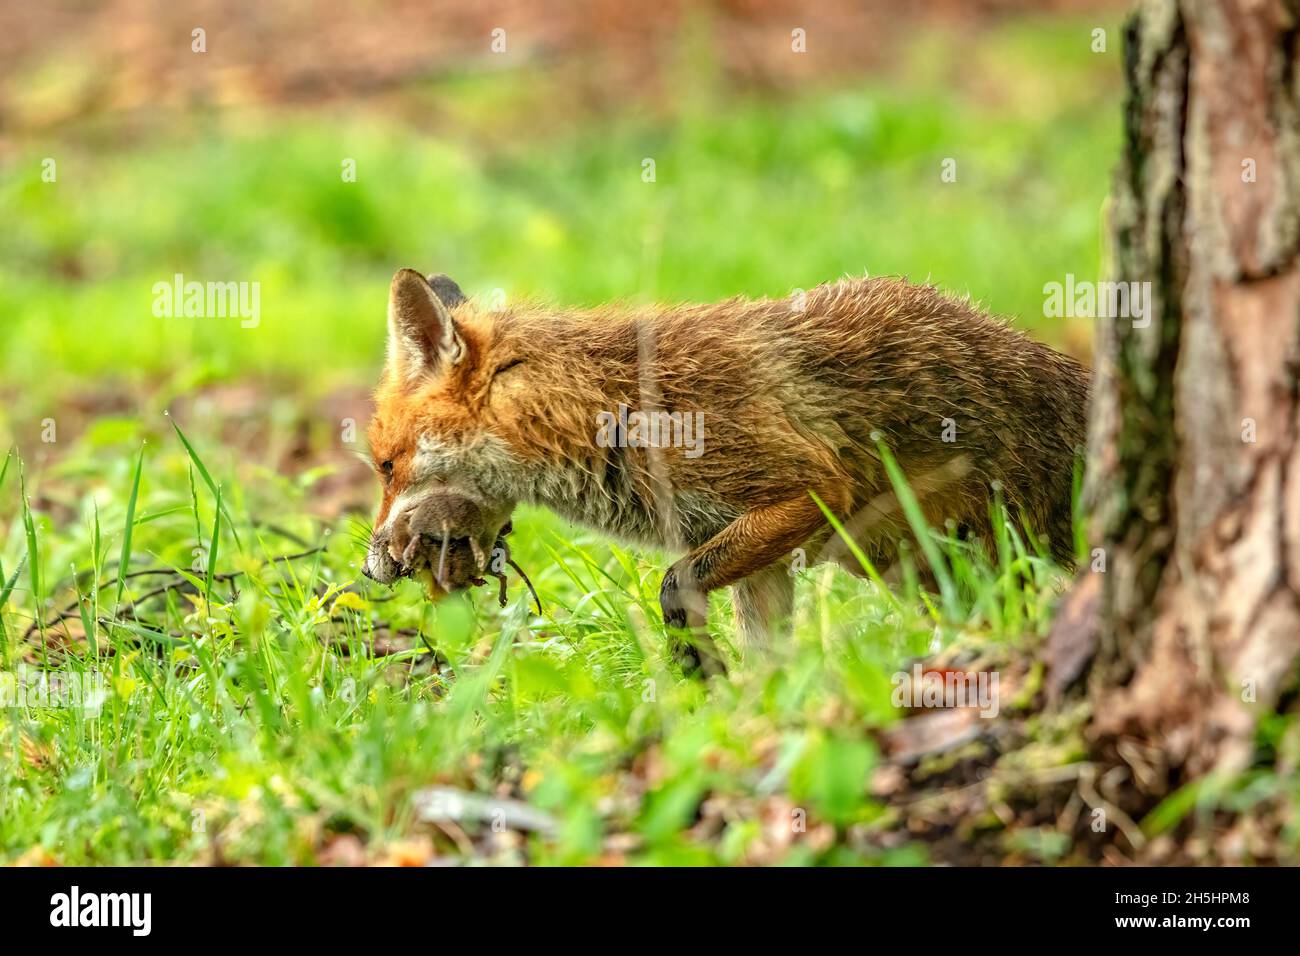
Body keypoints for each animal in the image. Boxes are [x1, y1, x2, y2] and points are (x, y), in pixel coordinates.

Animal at [363, 268, 1090, 676]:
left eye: (386, 465)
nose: (372, 566)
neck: (610, 409)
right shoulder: (760, 561)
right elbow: (767, 661)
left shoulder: (809, 491)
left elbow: (674, 585)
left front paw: (698, 668)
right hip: (922, 571)